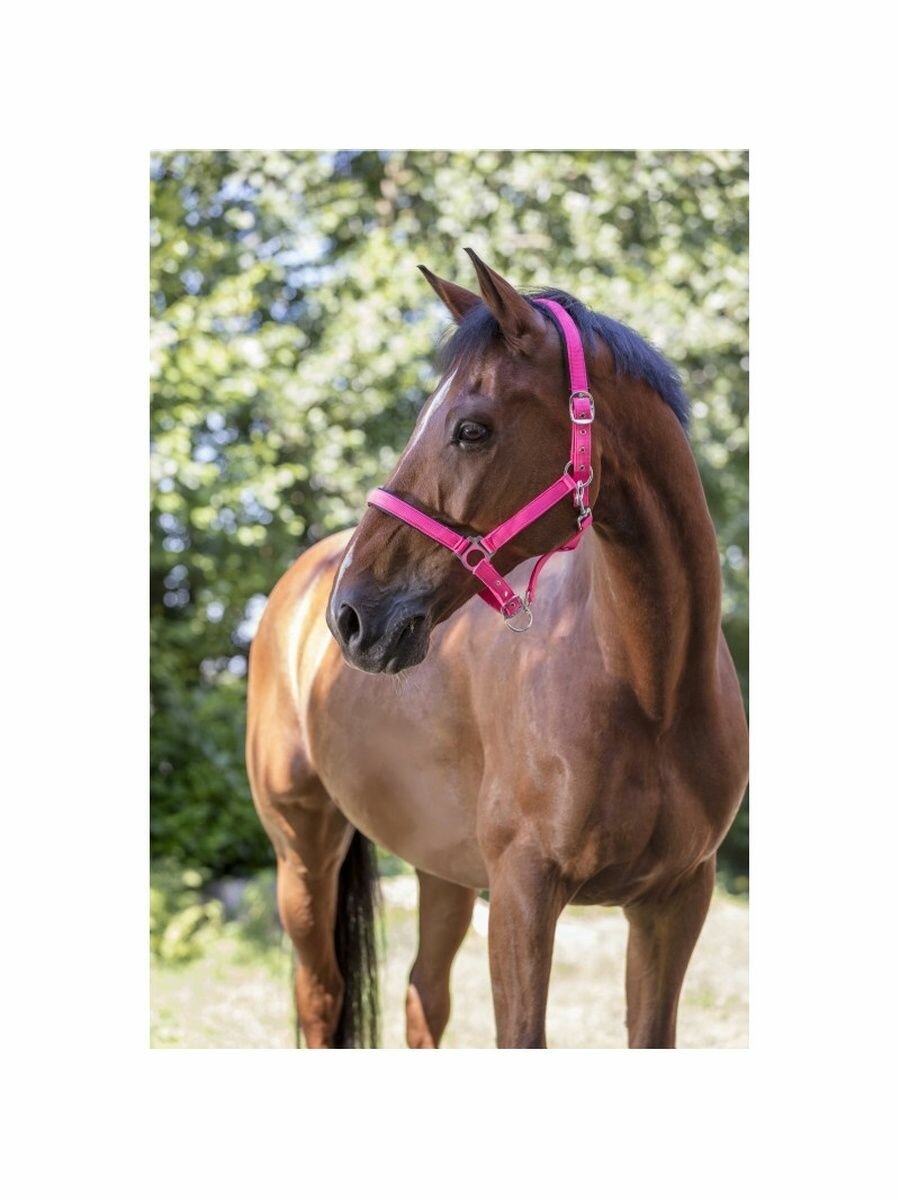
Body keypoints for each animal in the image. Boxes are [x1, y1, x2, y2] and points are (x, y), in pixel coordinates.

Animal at [245, 248, 748, 1049]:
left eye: (471, 429)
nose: (351, 616)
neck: (651, 688)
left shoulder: (675, 902)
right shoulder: (522, 895)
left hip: (441, 867)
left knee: (423, 1000)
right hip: (303, 855)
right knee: (322, 999)